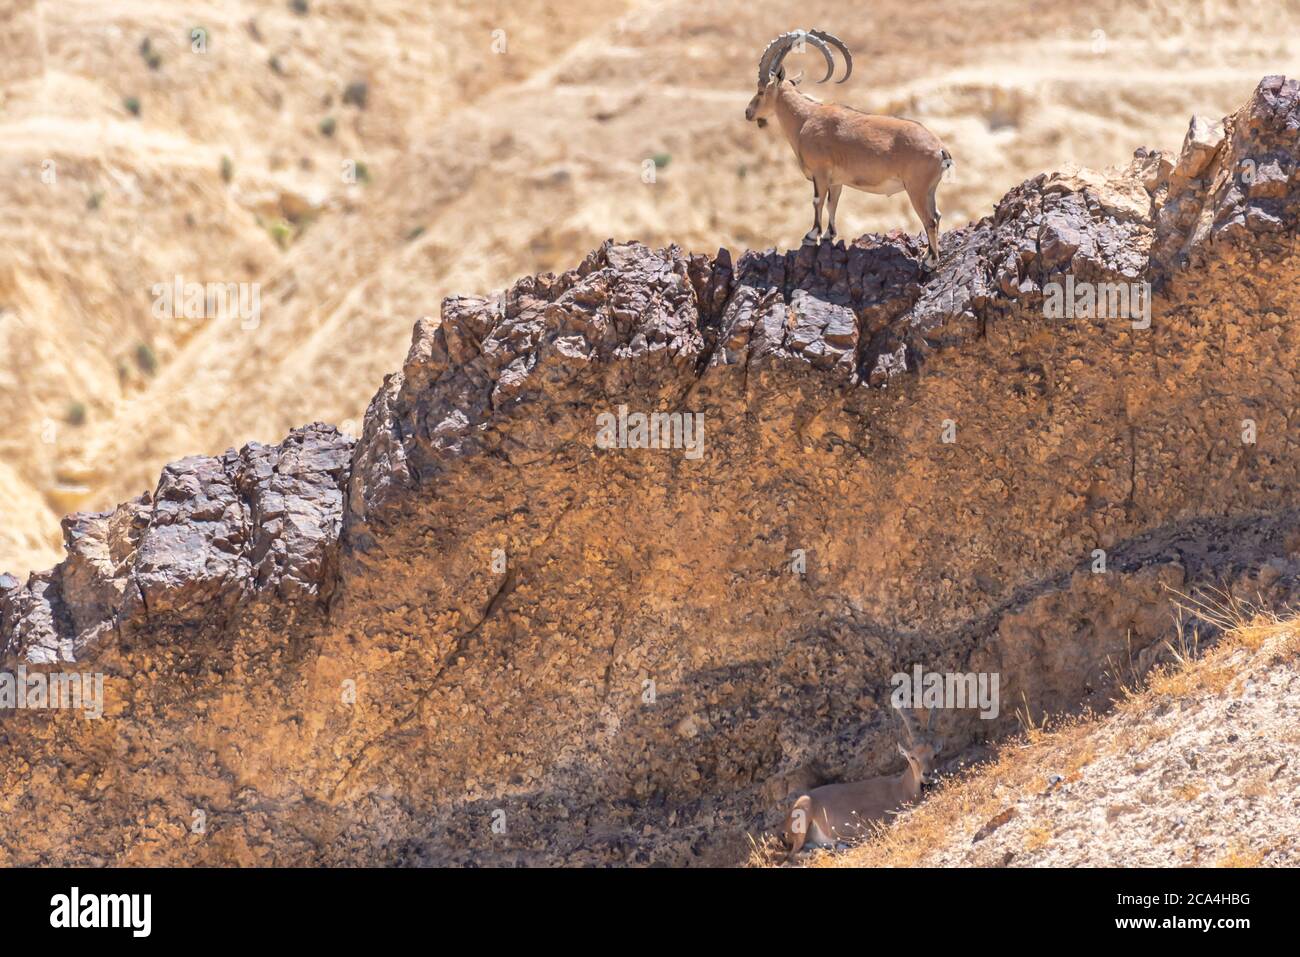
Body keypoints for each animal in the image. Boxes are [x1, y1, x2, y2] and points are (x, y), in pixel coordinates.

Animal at [744, 29, 953, 268]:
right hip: (929, 189)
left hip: (916, 189)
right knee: (937, 215)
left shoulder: (820, 172)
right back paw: (928, 256)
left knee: (929, 220)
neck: (805, 119)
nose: (748, 112)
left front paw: (811, 235)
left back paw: (930, 262)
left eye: (761, 90)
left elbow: (817, 201)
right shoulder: (836, 180)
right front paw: (828, 235)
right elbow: (832, 203)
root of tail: (940, 150)